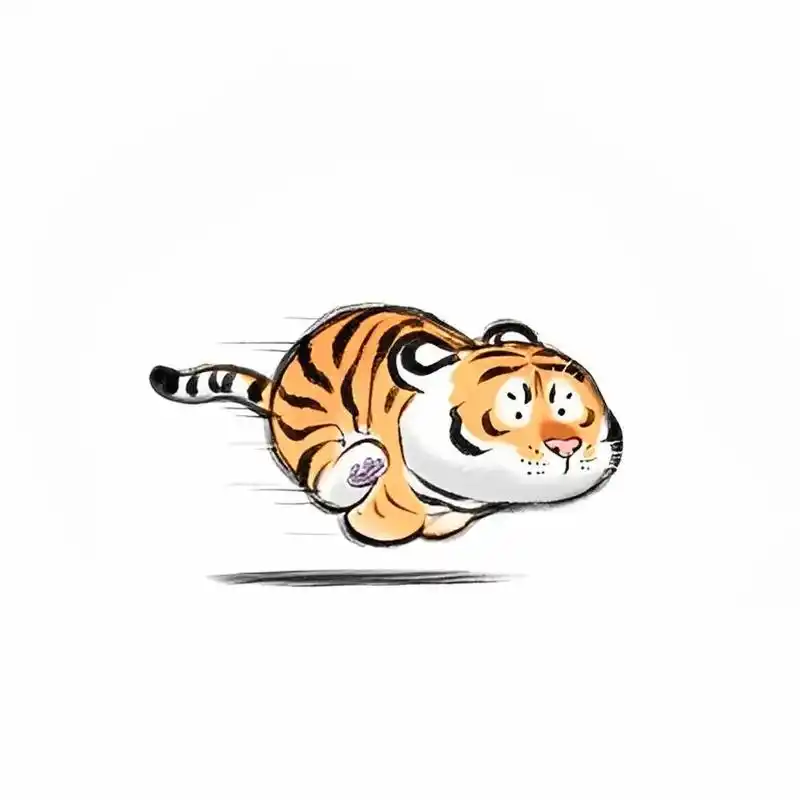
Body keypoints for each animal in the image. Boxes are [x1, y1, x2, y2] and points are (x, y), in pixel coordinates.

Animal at [149, 303, 623, 546]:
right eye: (516, 409)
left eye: (568, 407)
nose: (566, 447)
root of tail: (281, 383)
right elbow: (390, 511)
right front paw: (384, 523)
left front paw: (438, 525)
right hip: (311, 426)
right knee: (321, 474)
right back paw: (363, 464)